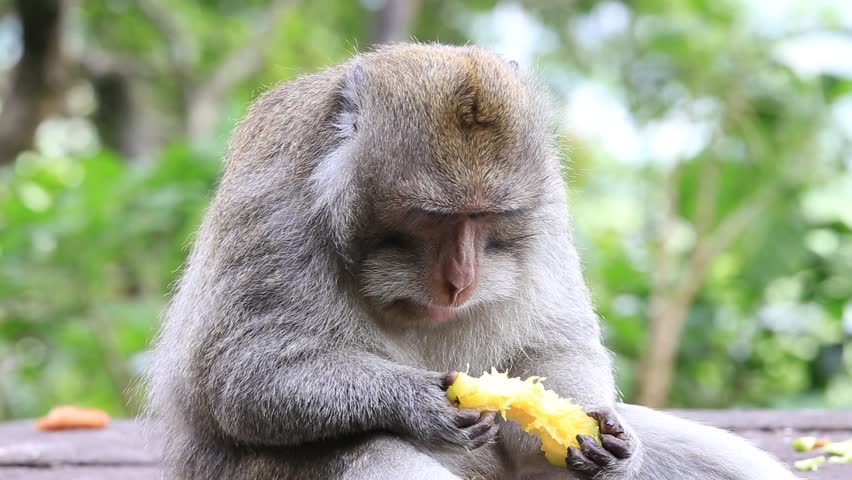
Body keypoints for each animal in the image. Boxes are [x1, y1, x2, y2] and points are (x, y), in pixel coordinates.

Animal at [145, 43, 798, 480]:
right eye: (432, 218)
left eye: (485, 217)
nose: (460, 280)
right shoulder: (278, 205)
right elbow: (247, 376)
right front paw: (418, 404)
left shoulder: (546, 207)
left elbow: (554, 345)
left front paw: (607, 445)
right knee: (369, 453)